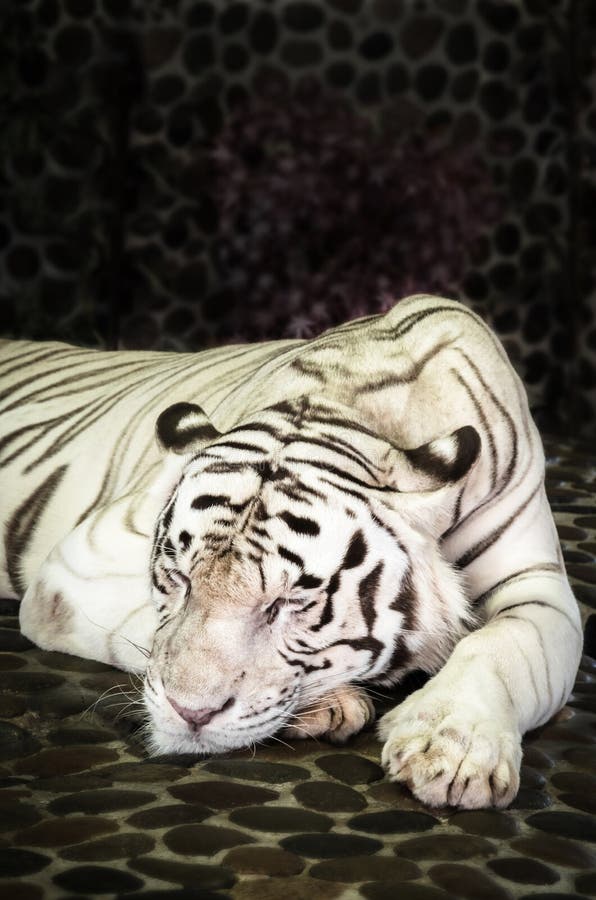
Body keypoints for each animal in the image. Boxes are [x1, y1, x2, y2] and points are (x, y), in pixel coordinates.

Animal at [0, 294, 582, 810]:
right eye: (180, 581)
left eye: (286, 604)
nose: (189, 717)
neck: (353, 403)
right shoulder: (77, 567)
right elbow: (151, 633)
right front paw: (330, 704)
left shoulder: (538, 584)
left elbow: (505, 645)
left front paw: (453, 749)